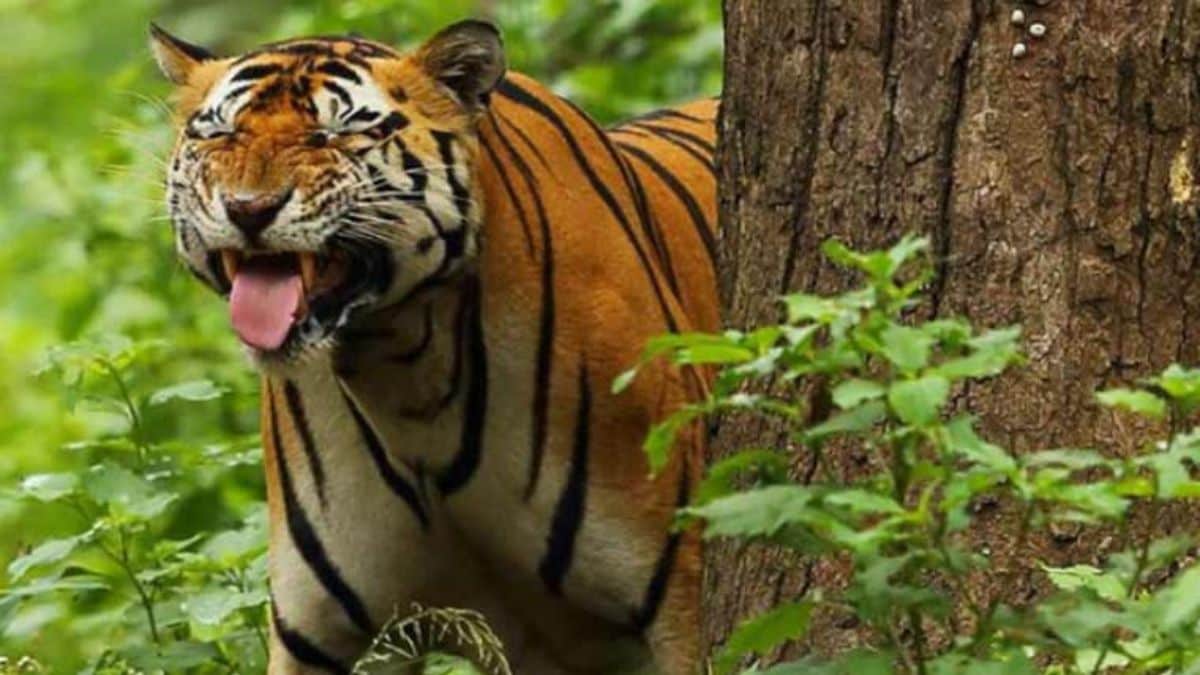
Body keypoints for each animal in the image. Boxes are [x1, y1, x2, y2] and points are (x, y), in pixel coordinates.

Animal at [150, 19, 719, 674]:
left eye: (338, 131)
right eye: (220, 131)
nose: (249, 209)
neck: (403, 369)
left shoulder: (683, 594)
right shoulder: (315, 634)